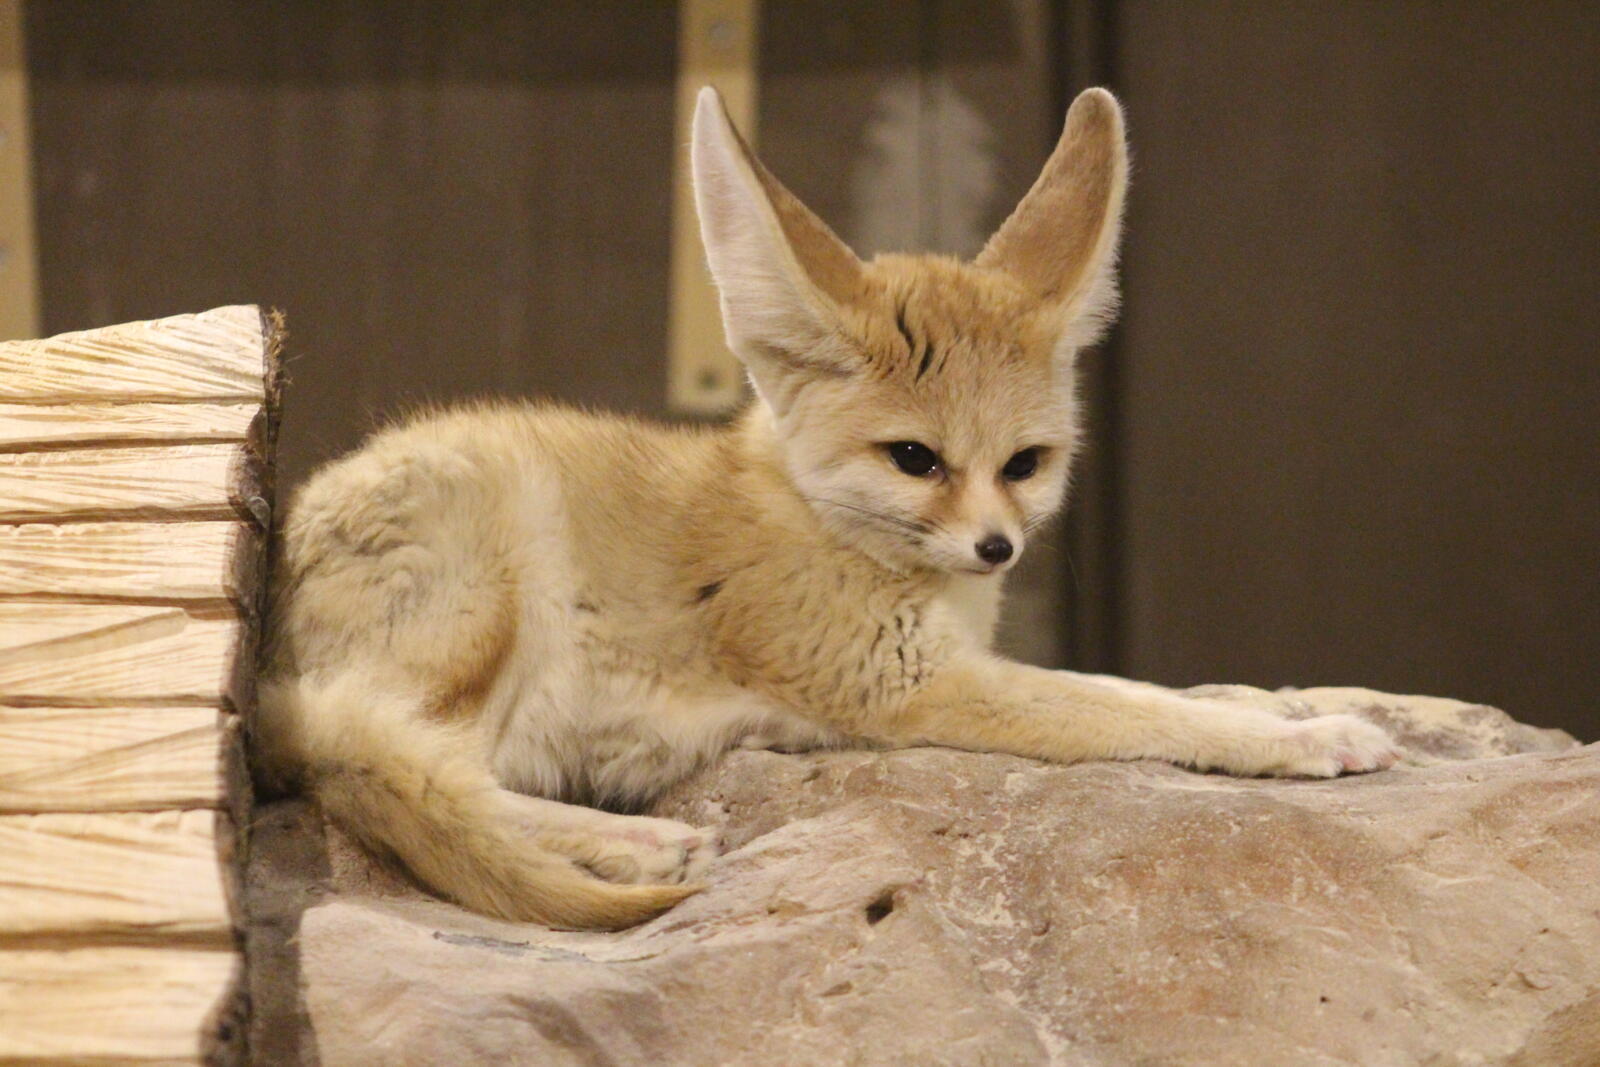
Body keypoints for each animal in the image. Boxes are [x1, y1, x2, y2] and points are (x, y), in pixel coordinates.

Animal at [254, 86, 1400, 931]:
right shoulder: (905, 684)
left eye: (1025, 463)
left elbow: (1131, 683)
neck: (820, 514)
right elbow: (1133, 707)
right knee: (409, 766)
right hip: (491, 589)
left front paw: (1287, 712)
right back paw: (632, 839)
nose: (996, 547)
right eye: (915, 458)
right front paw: (1306, 734)